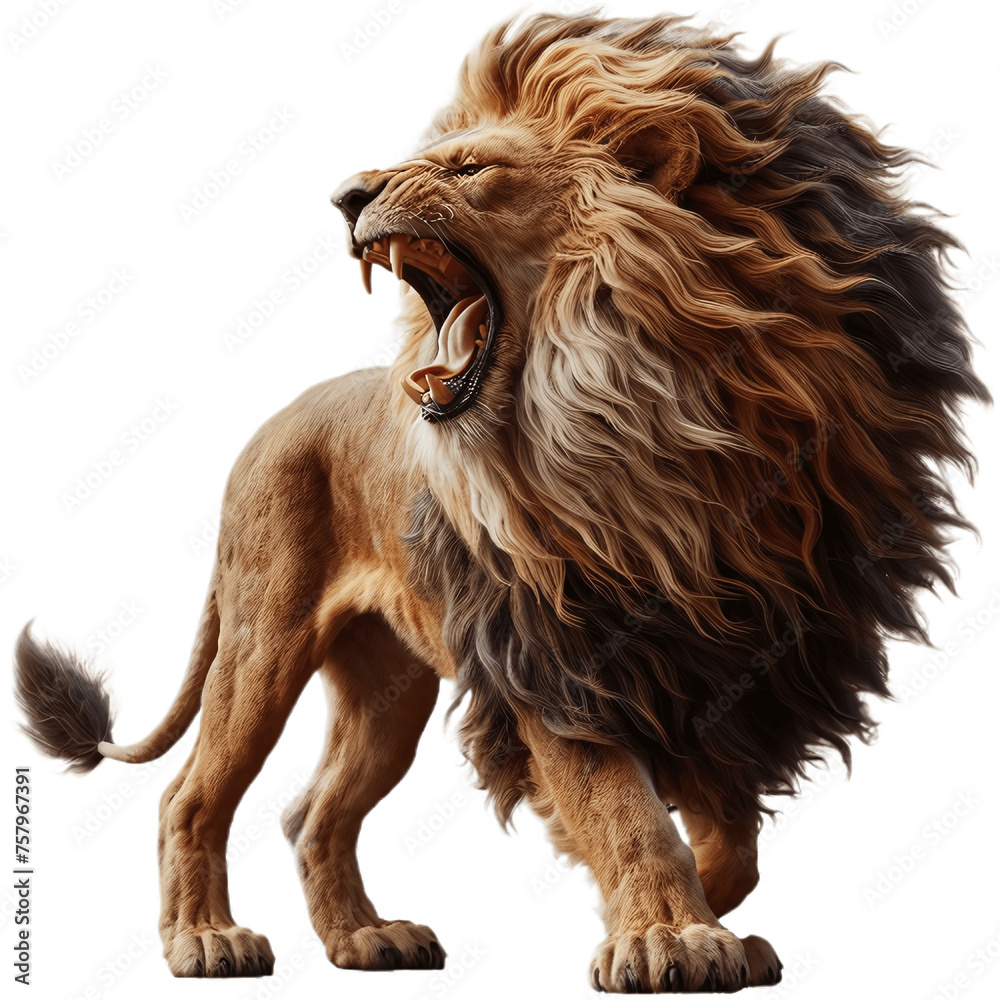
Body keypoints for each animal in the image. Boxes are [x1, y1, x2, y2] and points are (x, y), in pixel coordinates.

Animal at [14, 11, 988, 993]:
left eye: (468, 168)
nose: (346, 195)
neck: (669, 424)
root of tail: (276, 420)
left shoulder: (755, 663)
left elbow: (731, 840)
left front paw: (699, 926)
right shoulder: (550, 649)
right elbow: (627, 814)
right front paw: (667, 937)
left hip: (388, 686)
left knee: (314, 811)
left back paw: (366, 939)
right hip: (263, 641)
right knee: (190, 794)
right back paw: (207, 941)